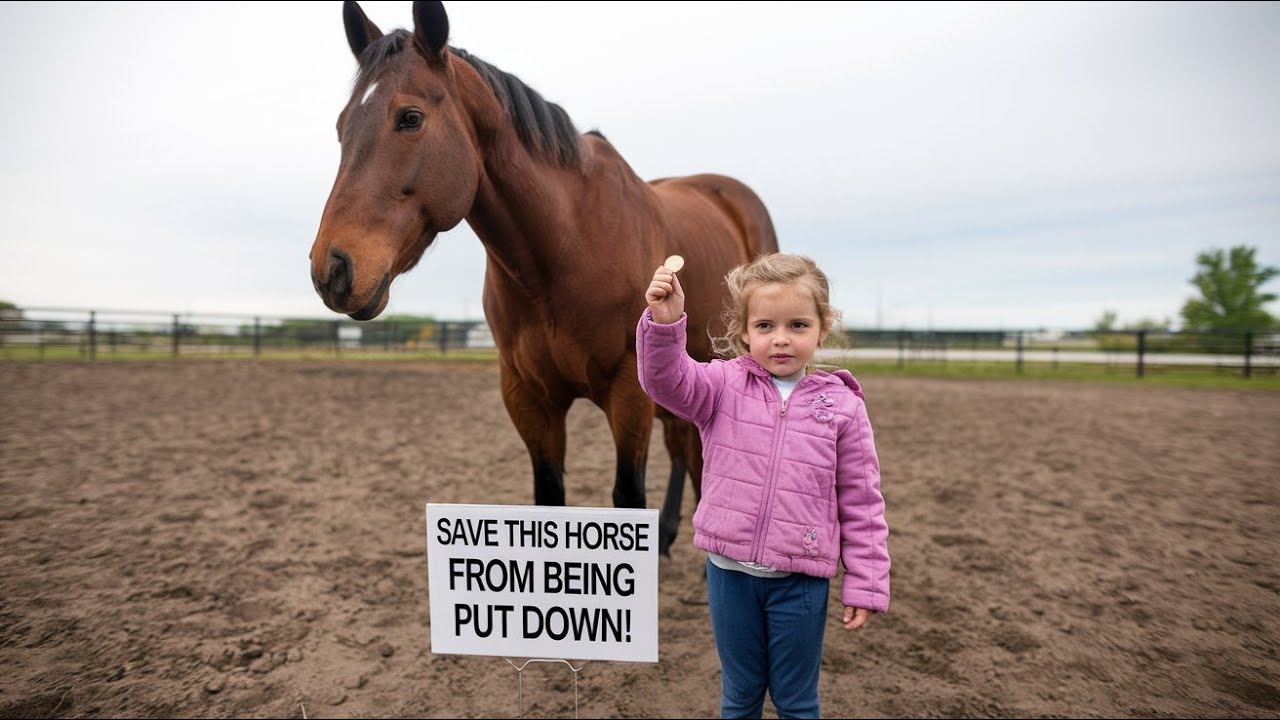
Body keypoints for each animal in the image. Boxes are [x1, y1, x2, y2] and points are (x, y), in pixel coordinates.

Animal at [309, 0, 778, 555]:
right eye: (342, 126)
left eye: (410, 118)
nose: (332, 269)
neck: (564, 249)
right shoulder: (529, 399)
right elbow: (549, 497)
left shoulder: (630, 392)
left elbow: (628, 496)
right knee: (684, 444)